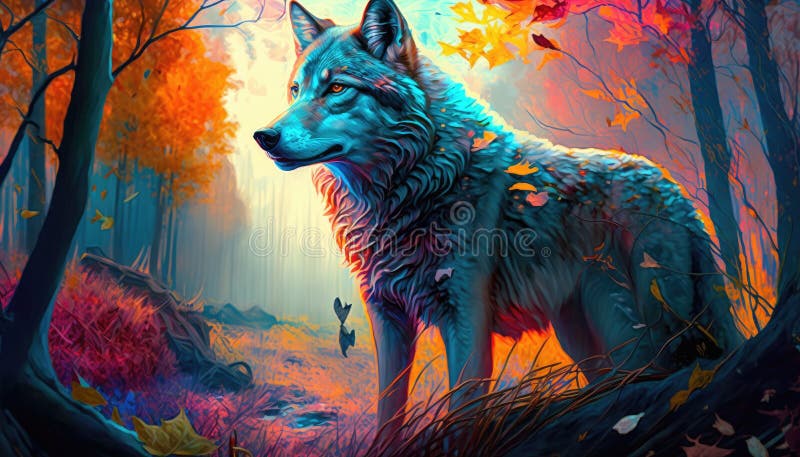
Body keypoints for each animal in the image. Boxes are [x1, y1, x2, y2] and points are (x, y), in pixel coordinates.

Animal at [254, 0, 743, 432]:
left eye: (337, 88)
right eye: (296, 91)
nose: (264, 135)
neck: (414, 182)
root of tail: (680, 196)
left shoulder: (466, 316)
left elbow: (463, 407)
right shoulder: (387, 317)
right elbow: (388, 409)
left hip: (641, 326)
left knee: (662, 374)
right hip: (585, 336)